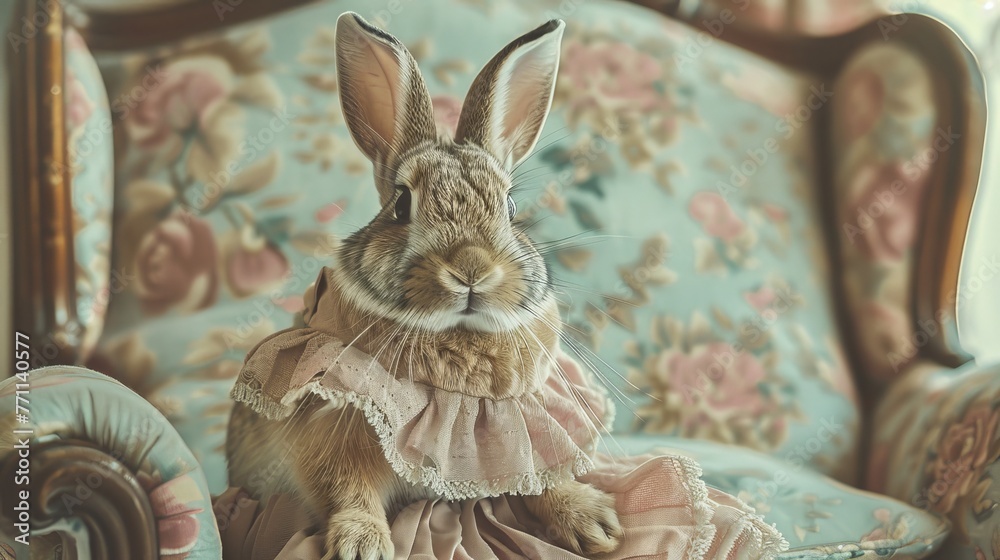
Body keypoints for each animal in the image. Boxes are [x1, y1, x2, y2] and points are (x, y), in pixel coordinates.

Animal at [227, 12, 623, 560]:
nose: (472, 268)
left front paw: (595, 523)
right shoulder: (331, 427)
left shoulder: (526, 432)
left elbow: (544, 475)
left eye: (510, 208)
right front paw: (362, 544)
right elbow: (344, 487)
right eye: (401, 205)